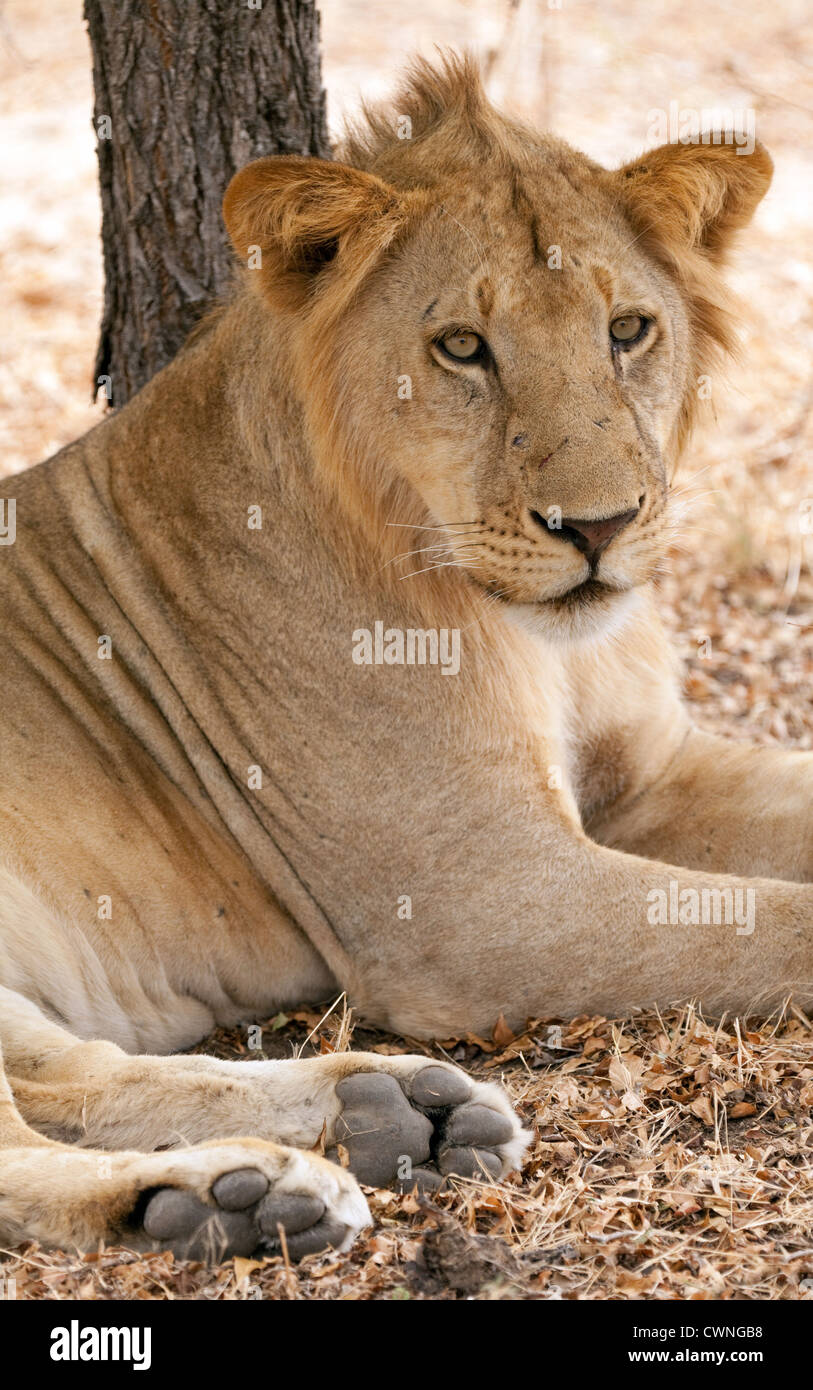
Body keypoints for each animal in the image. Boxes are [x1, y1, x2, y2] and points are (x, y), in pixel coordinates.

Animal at [0, 54, 810, 1264]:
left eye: (628, 330)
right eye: (462, 348)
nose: (599, 528)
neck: (540, 646)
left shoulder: (650, 779)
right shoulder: (478, 899)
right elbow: (778, 919)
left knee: (72, 1071)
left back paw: (396, 1116)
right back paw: (227, 1197)